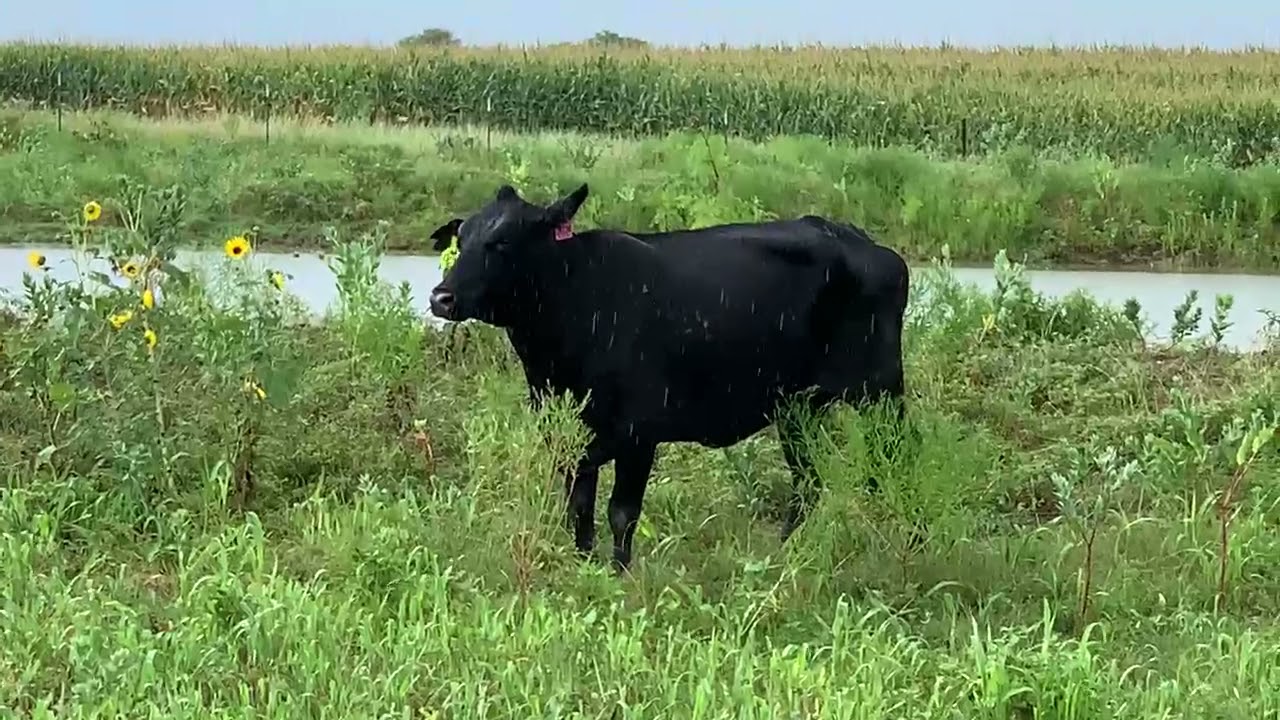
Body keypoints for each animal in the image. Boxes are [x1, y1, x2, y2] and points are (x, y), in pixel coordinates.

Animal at [428, 183, 913, 571]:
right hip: (798, 408)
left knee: (897, 463)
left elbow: (622, 514)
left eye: (503, 242)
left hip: (882, 393)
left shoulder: (638, 435)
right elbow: (578, 509)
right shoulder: (568, 437)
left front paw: (619, 575)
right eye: (462, 238)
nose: (441, 297)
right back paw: (784, 554)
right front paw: (583, 568)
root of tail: (868, 245)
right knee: (809, 482)